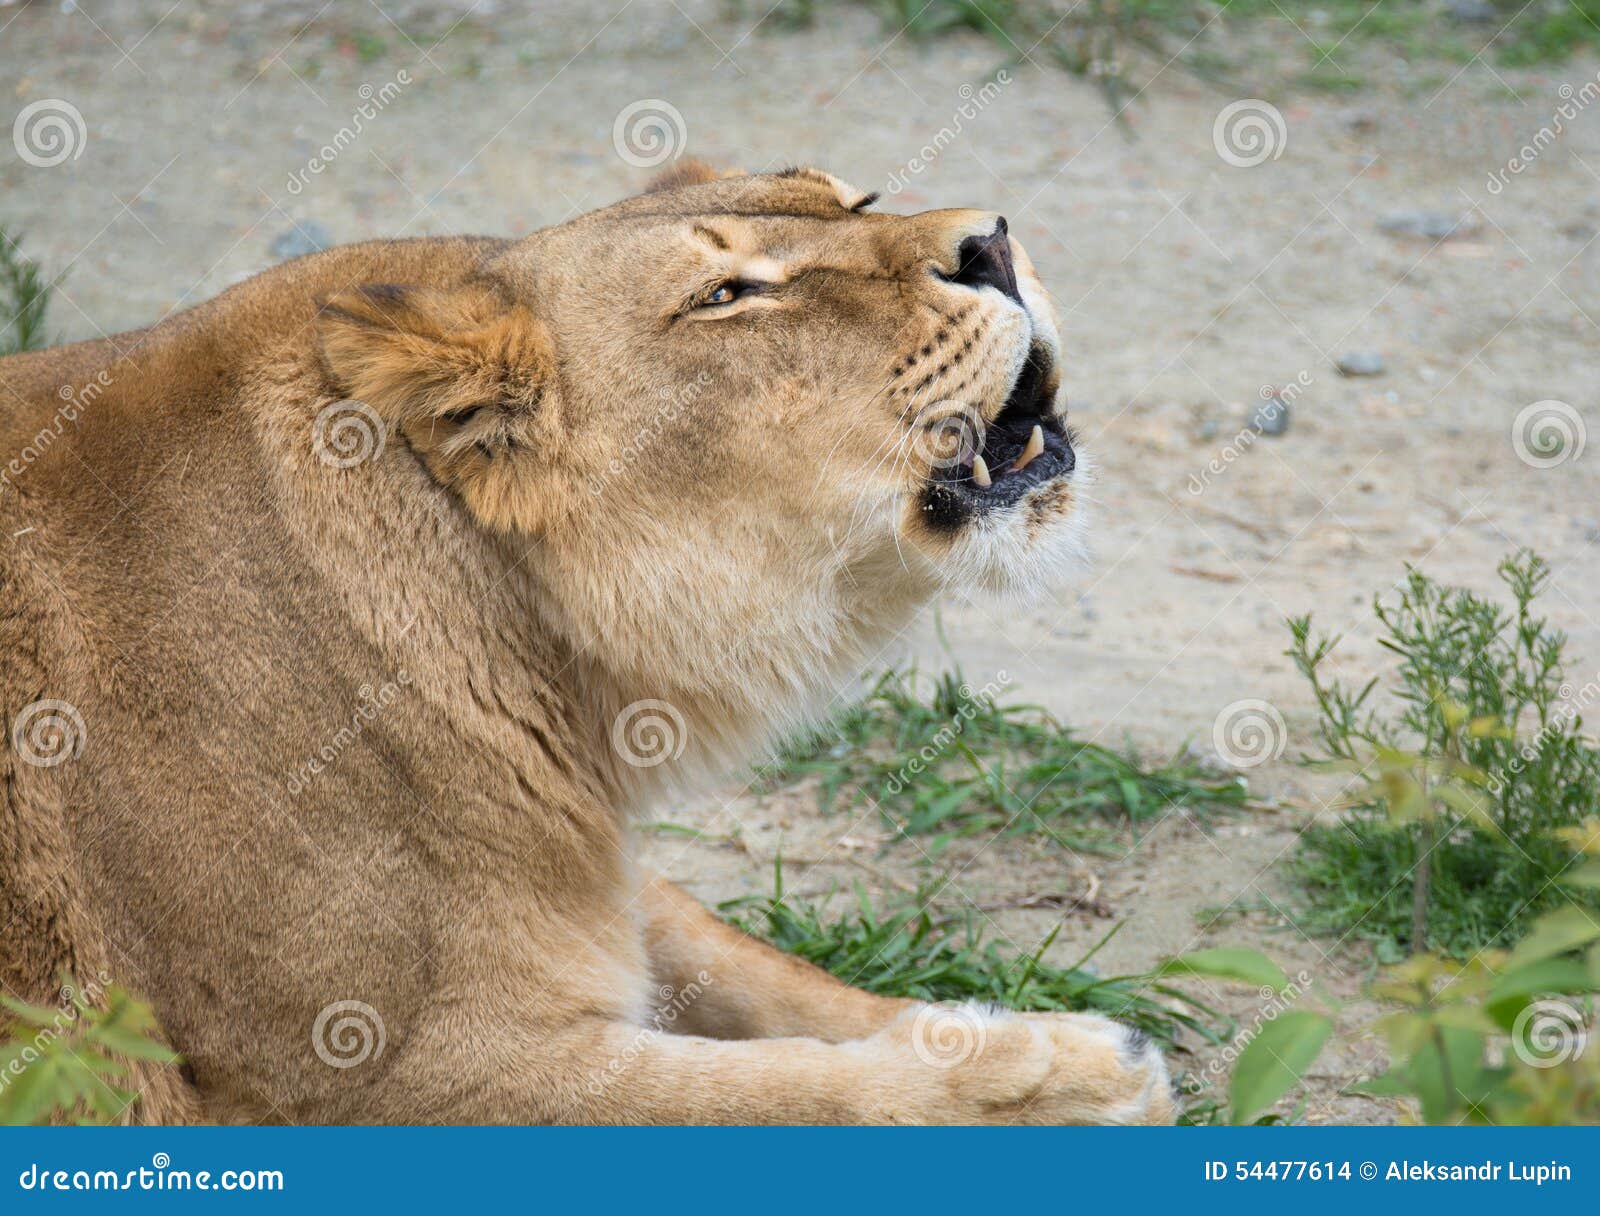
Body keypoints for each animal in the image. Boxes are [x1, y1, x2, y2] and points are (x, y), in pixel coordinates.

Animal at [0, 161, 1170, 1125]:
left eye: (854, 200)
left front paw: (1061, 1047)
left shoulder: (597, 871)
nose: (993, 246)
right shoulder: (385, 1076)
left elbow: (767, 976)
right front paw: (1046, 1090)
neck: (552, 665)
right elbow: (777, 1096)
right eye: (725, 297)